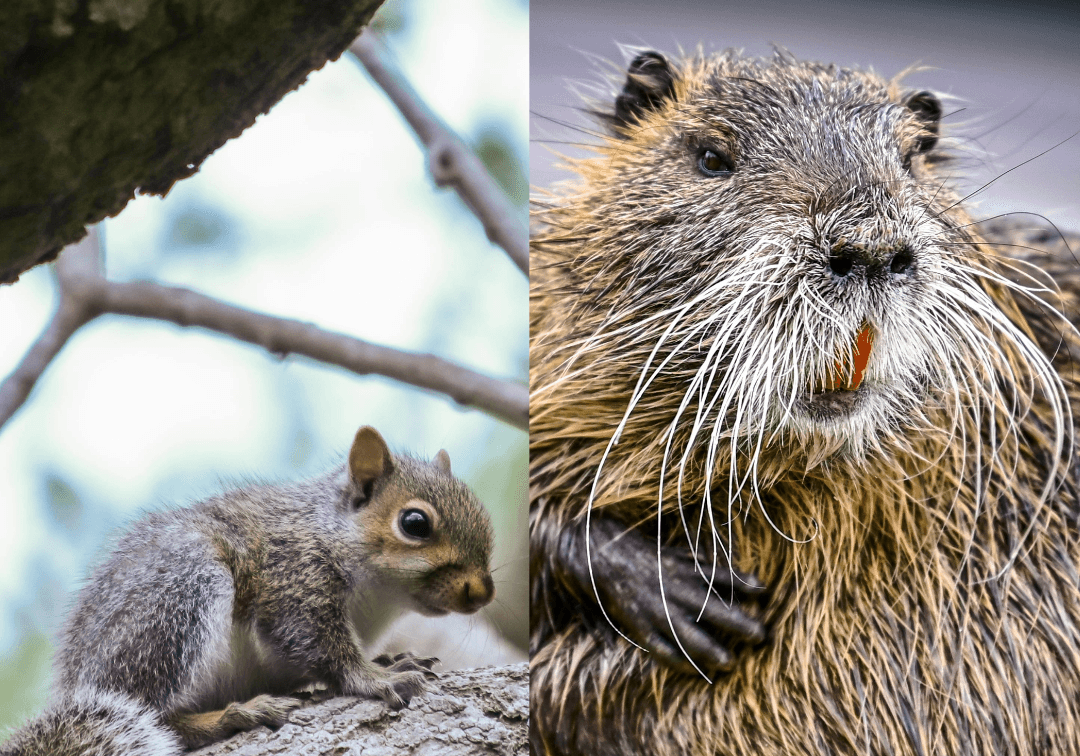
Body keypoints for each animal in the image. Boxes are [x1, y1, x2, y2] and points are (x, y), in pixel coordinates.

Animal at [1, 425, 495, 756]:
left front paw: (391, 659)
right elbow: (319, 646)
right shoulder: (293, 577)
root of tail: (75, 680)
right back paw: (232, 715)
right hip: (178, 598)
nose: (482, 593)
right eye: (414, 524)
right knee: (158, 712)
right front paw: (376, 678)